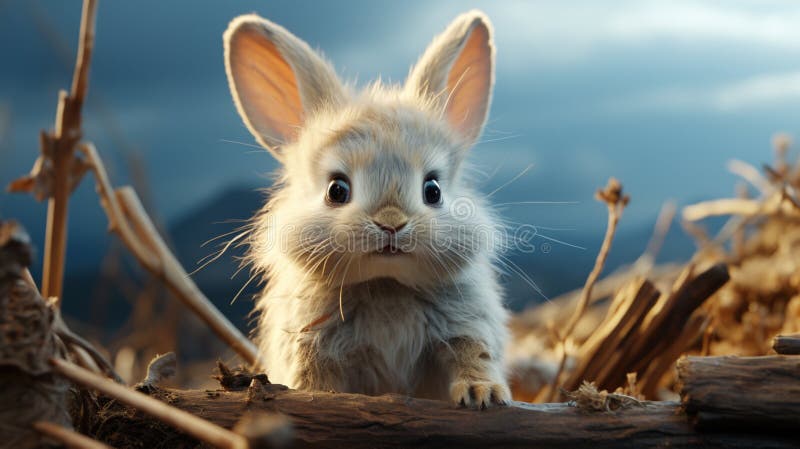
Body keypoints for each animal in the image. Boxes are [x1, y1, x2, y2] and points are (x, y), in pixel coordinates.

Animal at [223, 9, 511, 408]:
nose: (391, 223)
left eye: (433, 190)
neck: (385, 282)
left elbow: (473, 357)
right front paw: (319, 398)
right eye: (336, 190)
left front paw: (483, 394)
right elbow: (316, 378)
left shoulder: (467, 327)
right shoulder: (313, 347)